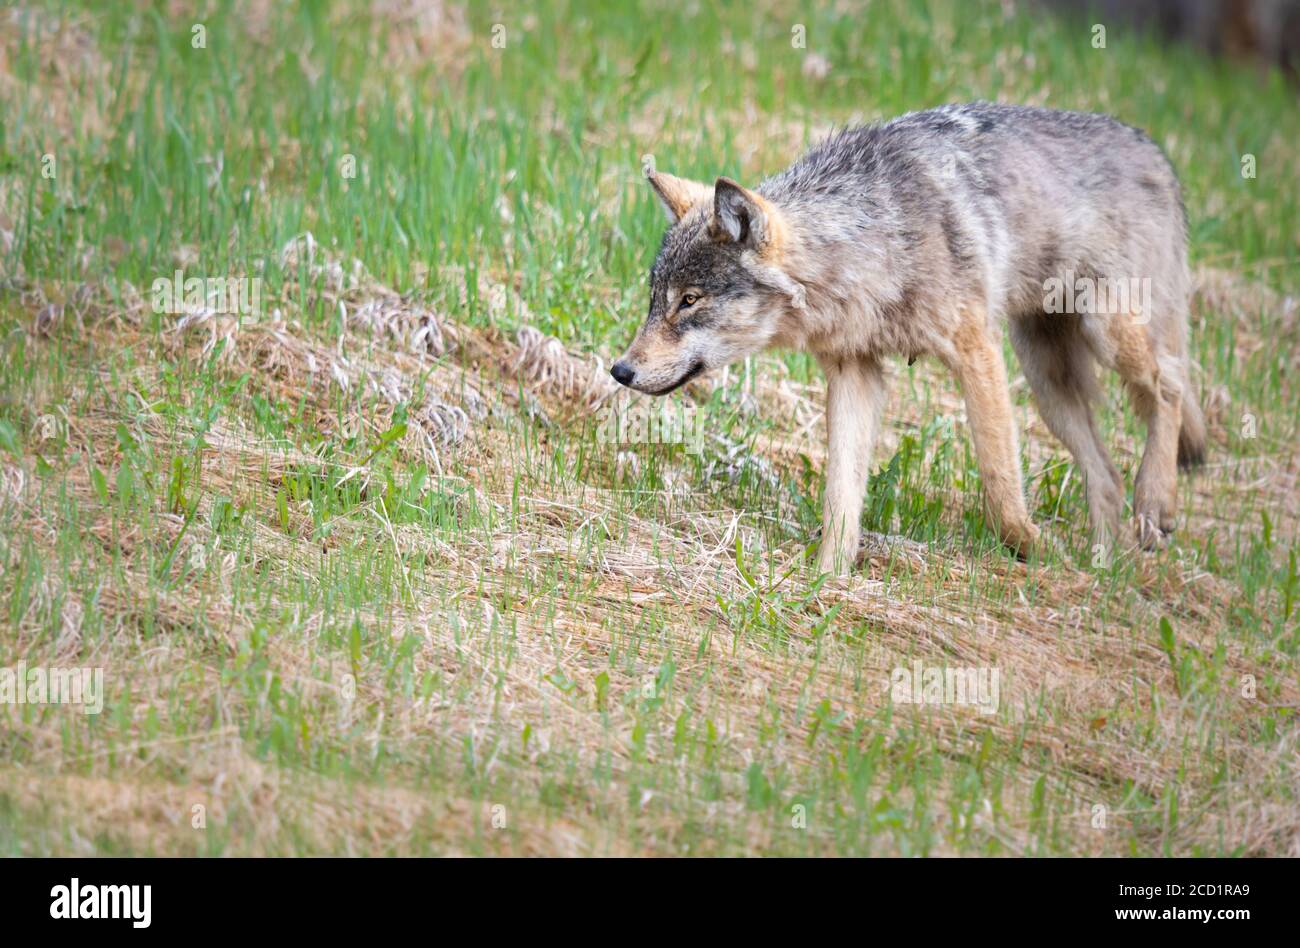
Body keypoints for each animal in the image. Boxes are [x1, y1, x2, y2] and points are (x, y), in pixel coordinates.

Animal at [612, 102, 1205, 575]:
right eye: (656, 299)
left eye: (690, 300)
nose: (620, 370)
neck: (873, 238)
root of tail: (1156, 152)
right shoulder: (855, 371)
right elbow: (841, 494)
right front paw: (827, 579)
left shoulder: (976, 351)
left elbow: (999, 483)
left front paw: (1035, 549)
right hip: (1048, 385)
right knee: (1106, 474)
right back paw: (1108, 569)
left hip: (1106, 334)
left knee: (1171, 384)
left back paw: (1156, 503)